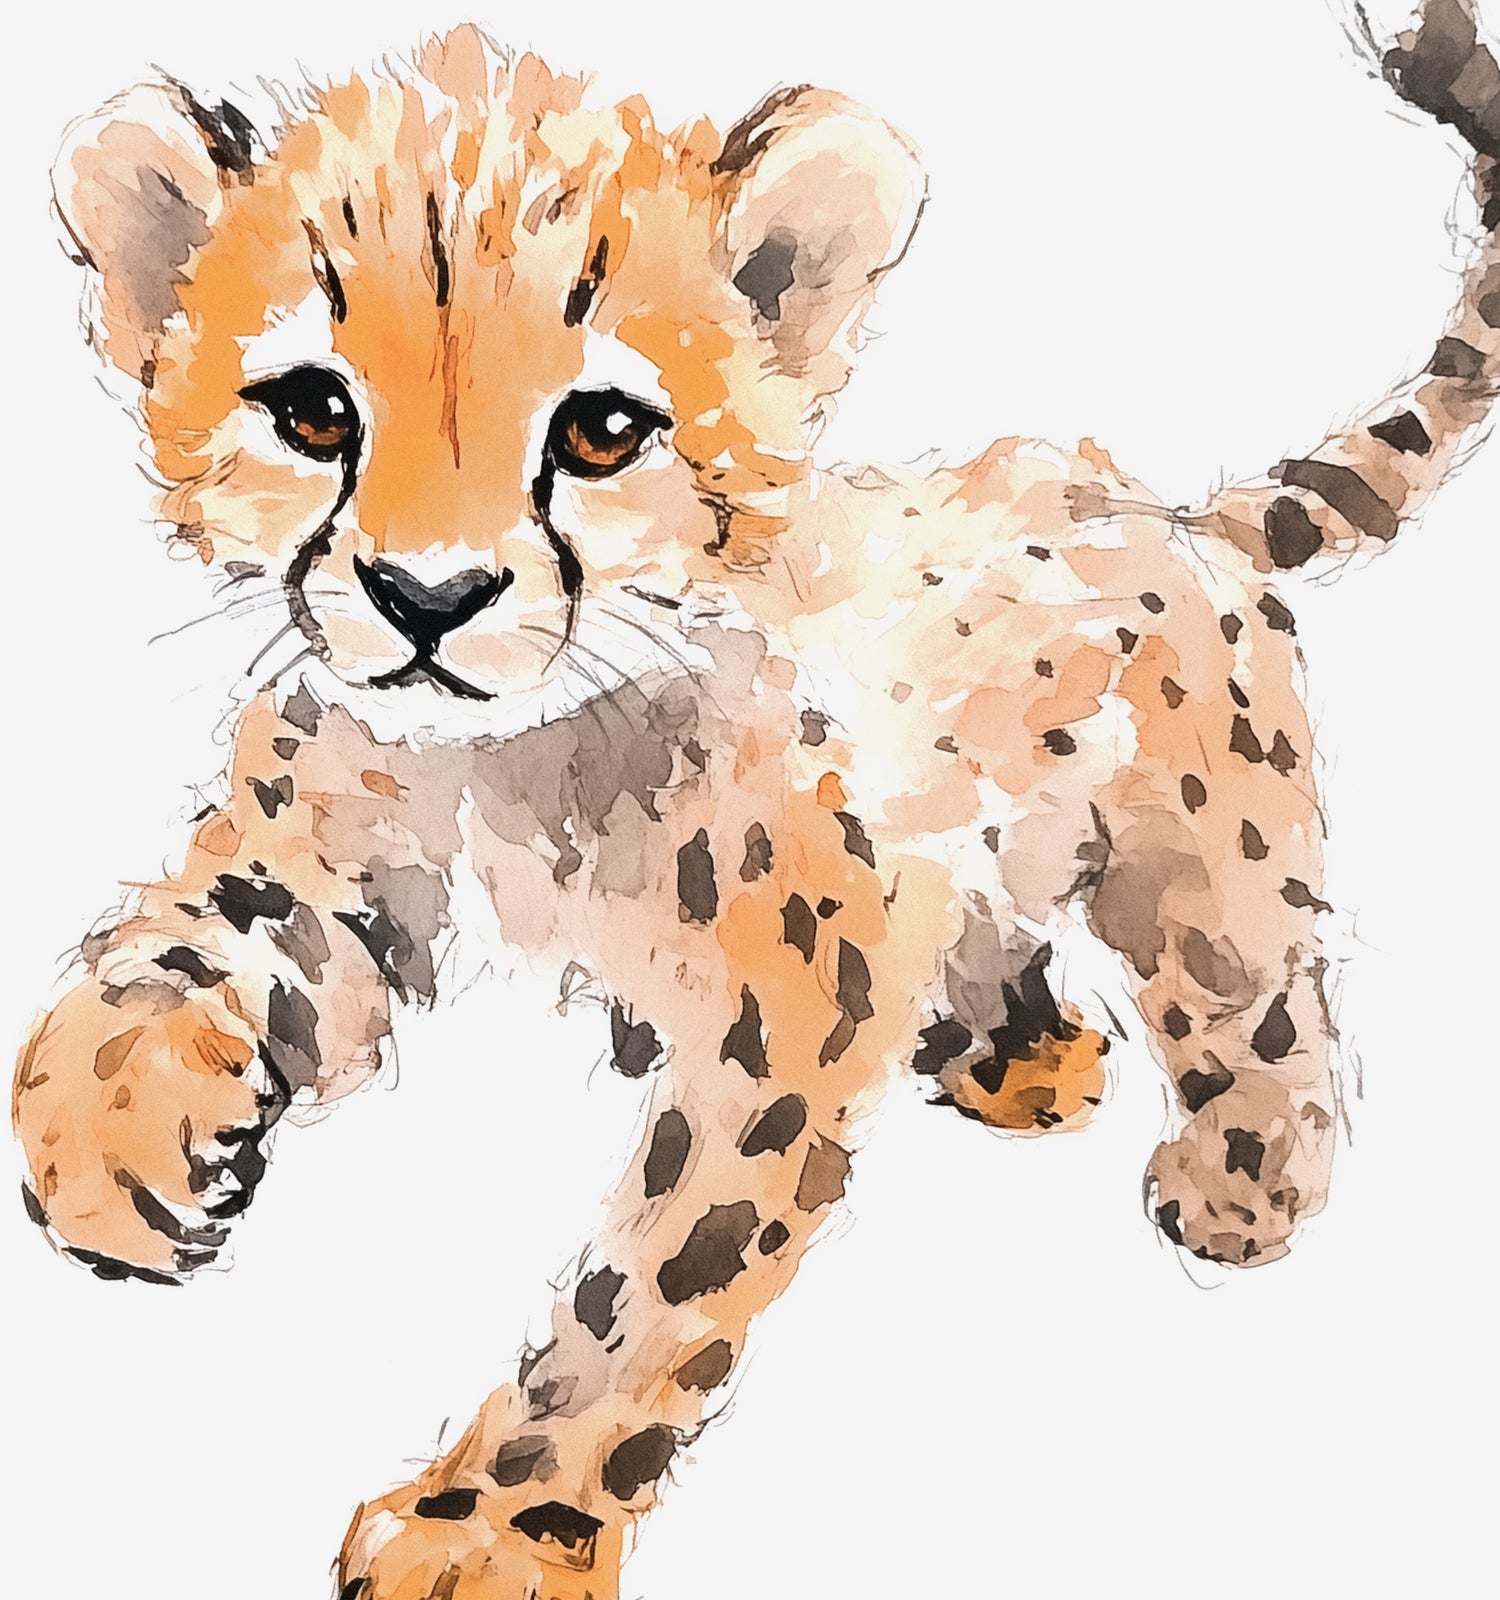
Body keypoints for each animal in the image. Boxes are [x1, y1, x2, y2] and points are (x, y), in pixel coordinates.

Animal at [14, 2, 1500, 1595]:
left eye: (603, 432)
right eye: (310, 410)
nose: (427, 596)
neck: (511, 764)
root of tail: (1160, 501)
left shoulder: (793, 1009)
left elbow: (654, 1288)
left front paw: (493, 1529)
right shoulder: (331, 863)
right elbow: (159, 960)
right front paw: (115, 1151)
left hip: (1198, 848)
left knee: (1256, 984)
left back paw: (1245, 1183)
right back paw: (1019, 1052)